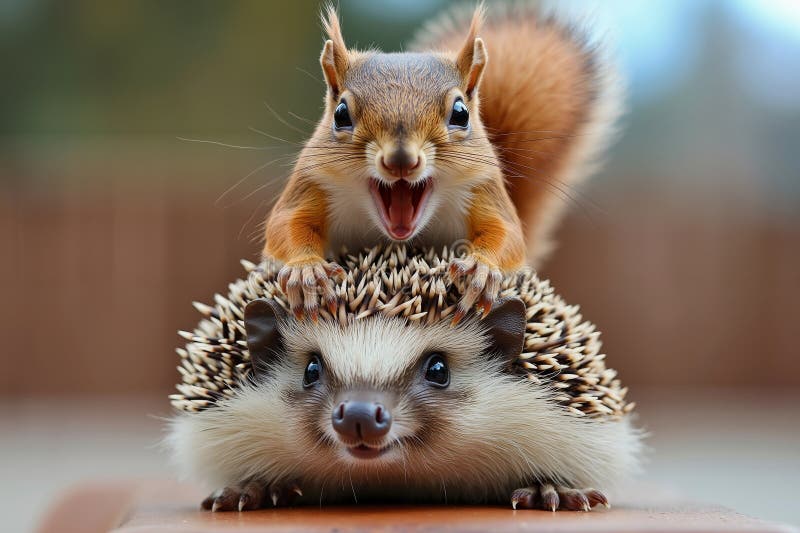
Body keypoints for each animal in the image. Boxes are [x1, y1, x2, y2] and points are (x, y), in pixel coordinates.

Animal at [263, 3, 621, 323]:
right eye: (340, 114)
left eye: (460, 113)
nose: (401, 160)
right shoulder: (312, 182)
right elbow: (284, 224)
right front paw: (305, 271)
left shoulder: (483, 187)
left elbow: (506, 233)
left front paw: (482, 269)